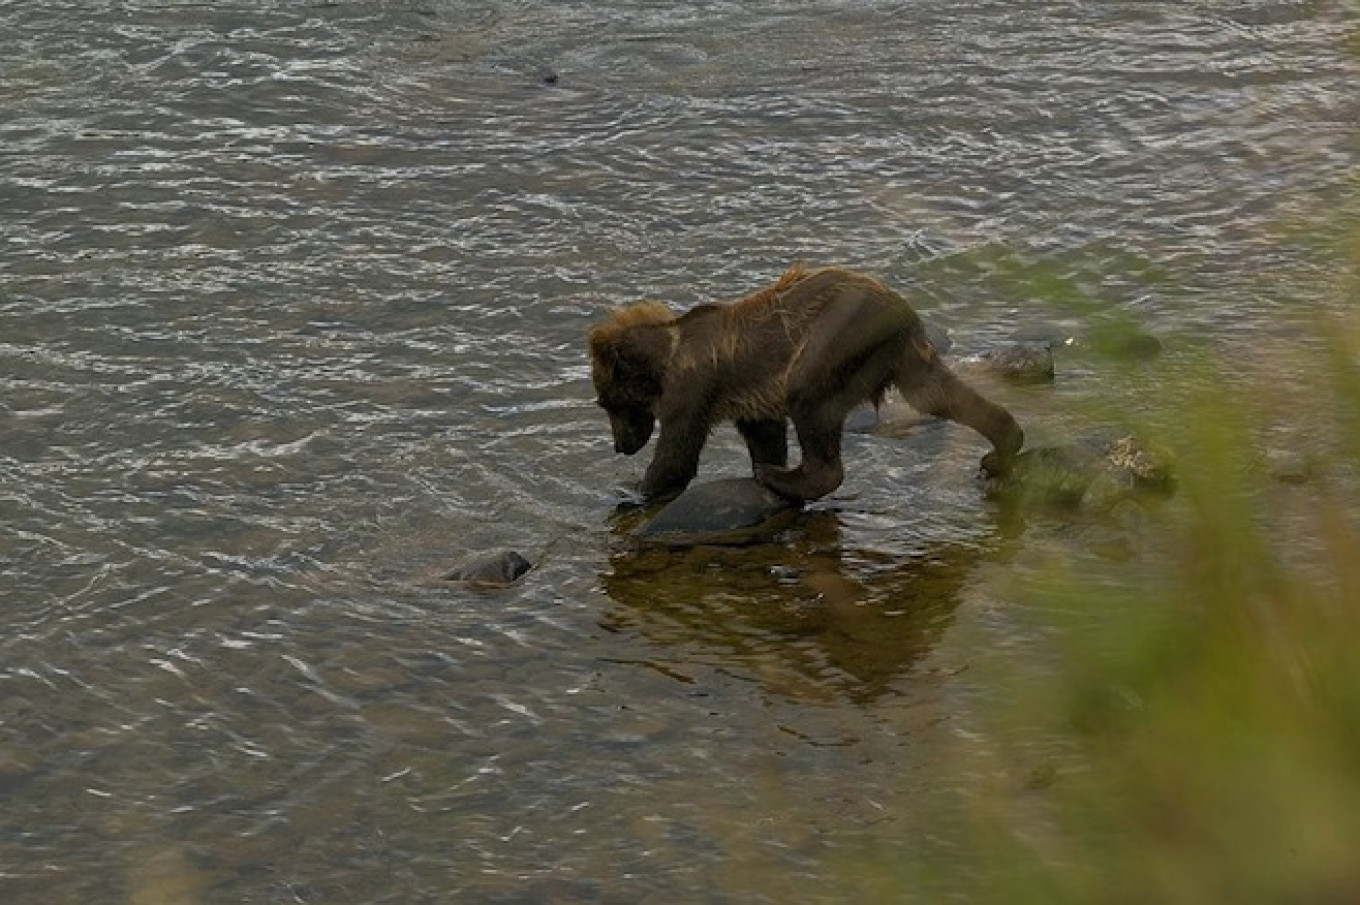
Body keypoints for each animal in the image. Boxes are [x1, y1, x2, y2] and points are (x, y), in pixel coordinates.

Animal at [587, 264, 1024, 503]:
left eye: (608, 403)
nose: (620, 445)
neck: (664, 360)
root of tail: (902, 312)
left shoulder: (691, 389)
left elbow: (677, 453)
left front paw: (634, 488)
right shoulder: (750, 398)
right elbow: (765, 434)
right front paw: (765, 460)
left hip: (833, 340)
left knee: (811, 402)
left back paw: (786, 478)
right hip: (900, 356)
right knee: (934, 393)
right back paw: (1002, 446)